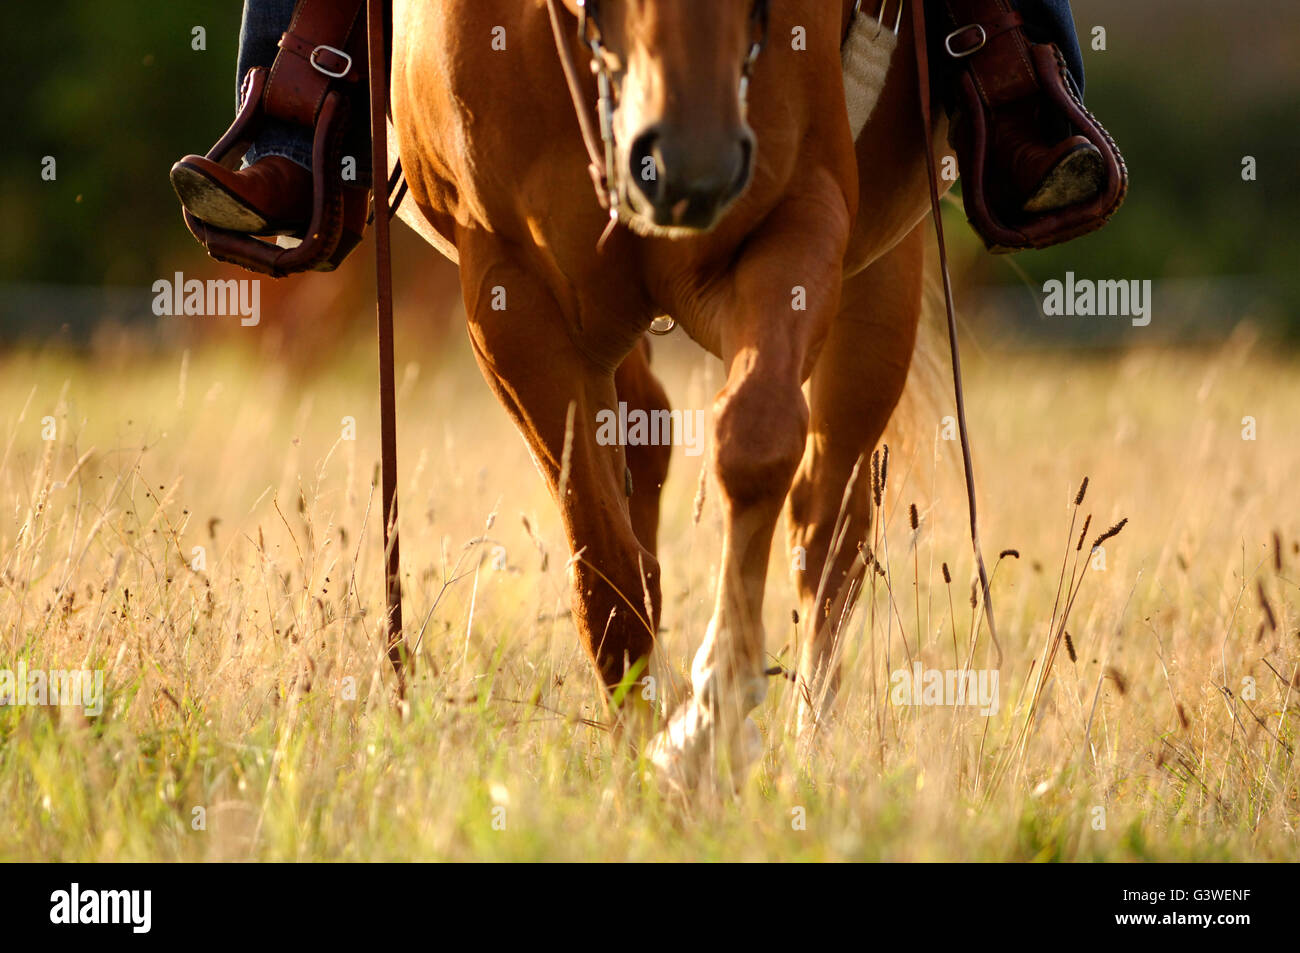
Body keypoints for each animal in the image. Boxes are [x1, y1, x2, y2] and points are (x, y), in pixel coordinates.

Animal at [389, 0, 948, 783]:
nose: (692, 165)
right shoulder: (513, 303)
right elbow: (605, 560)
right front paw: (649, 745)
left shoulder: (797, 217)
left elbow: (755, 440)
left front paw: (705, 728)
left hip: (880, 282)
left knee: (828, 523)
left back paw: (808, 746)